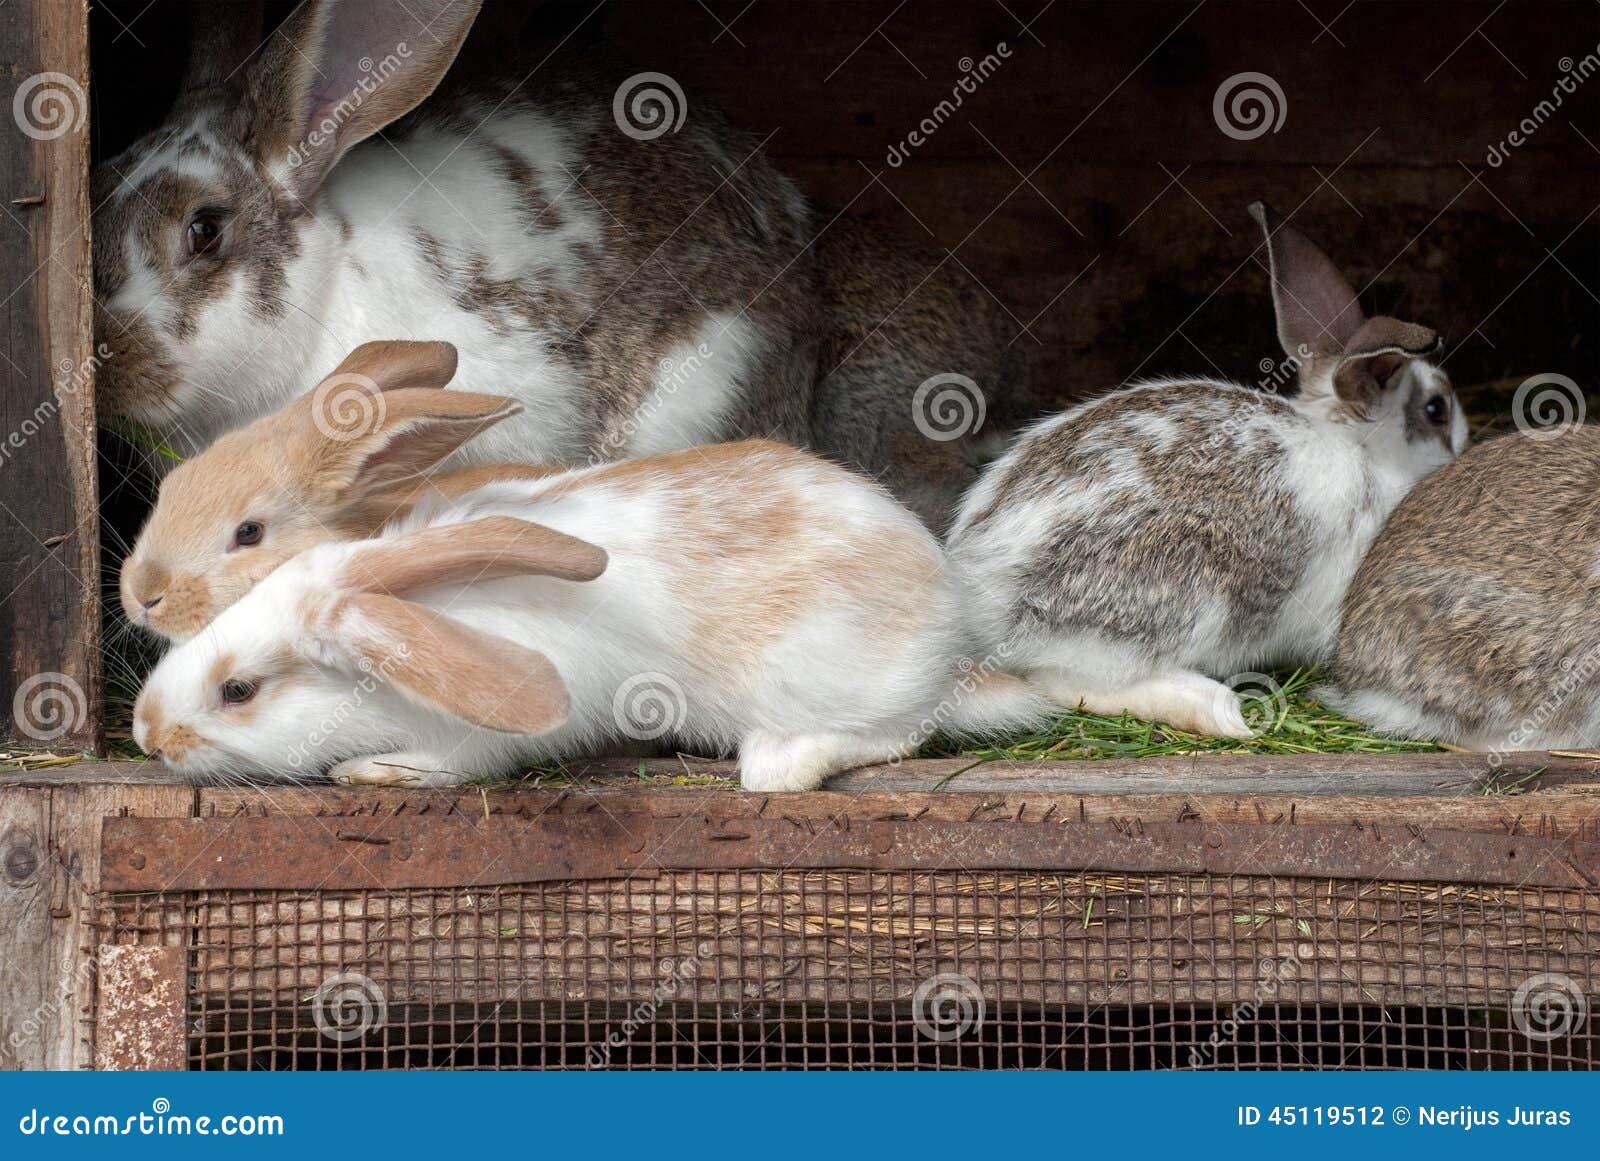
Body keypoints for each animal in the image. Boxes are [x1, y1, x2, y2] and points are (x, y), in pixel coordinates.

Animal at [131, 442, 1053, 791]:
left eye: (239, 691)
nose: (145, 733)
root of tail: (950, 644)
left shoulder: (472, 738)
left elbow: (443, 764)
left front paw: (371, 771)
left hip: (829, 686)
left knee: (896, 733)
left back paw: (784, 759)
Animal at [944, 202, 1467, 739]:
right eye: (1435, 410)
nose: (1461, 451)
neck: (1363, 452)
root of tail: (980, 592)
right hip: (1185, 592)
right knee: (1067, 683)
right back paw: (1218, 709)